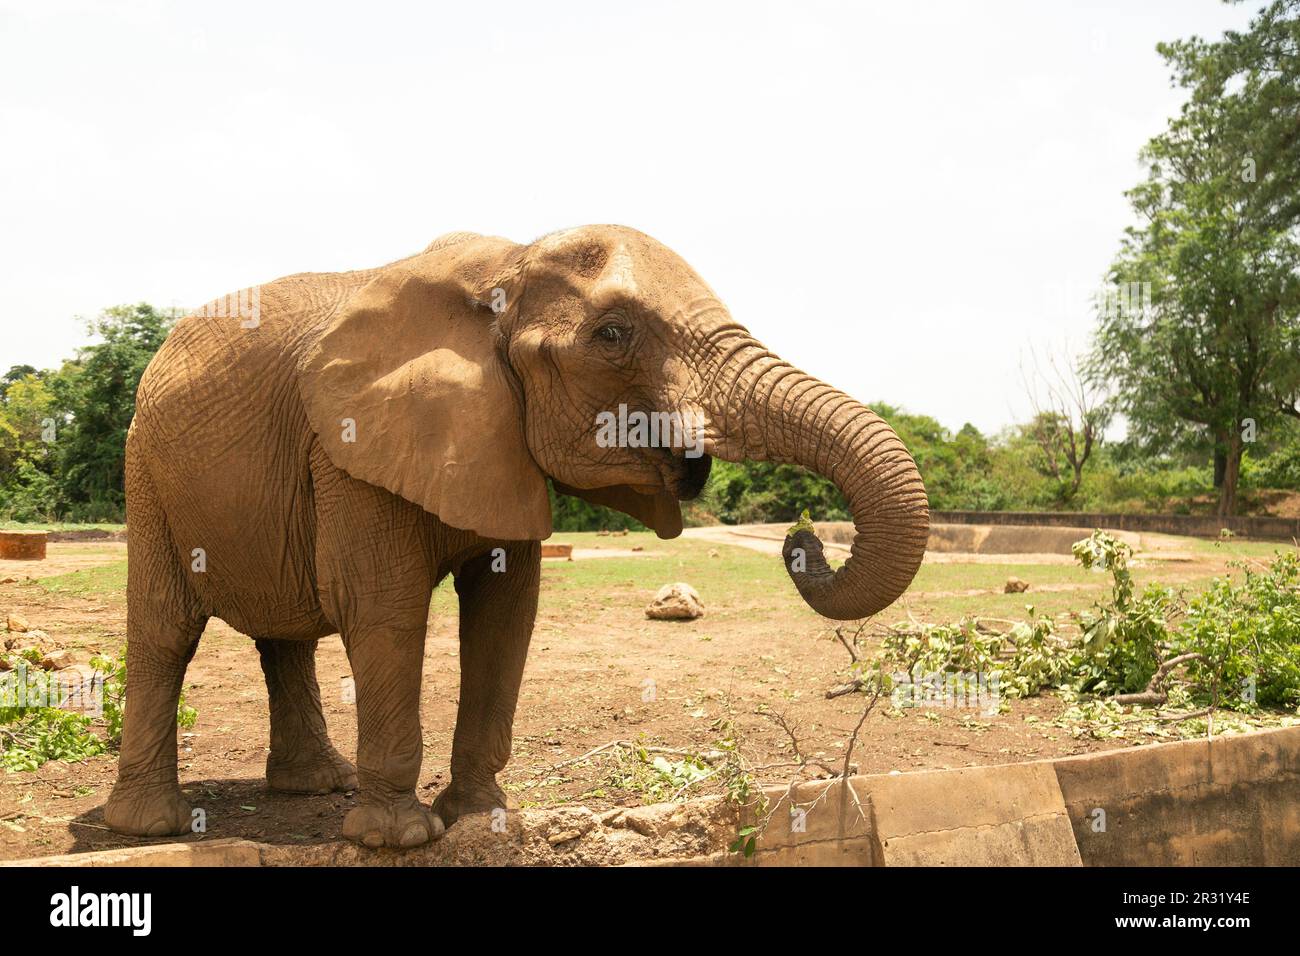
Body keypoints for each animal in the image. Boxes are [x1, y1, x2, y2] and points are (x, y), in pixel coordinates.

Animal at [102, 225, 929, 848]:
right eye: (613, 335)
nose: (801, 540)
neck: (504, 265)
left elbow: (506, 612)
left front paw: (486, 819)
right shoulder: (344, 447)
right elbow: (382, 607)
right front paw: (400, 839)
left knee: (285, 636)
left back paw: (314, 786)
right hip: (145, 470)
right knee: (166, 628)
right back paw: (152, 825)